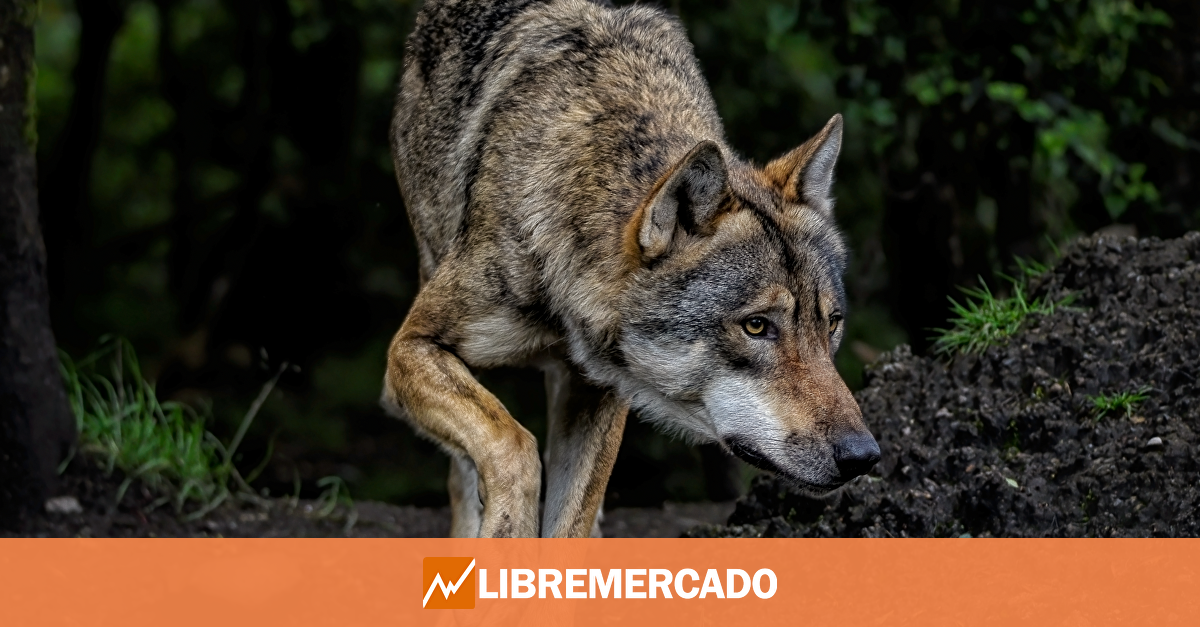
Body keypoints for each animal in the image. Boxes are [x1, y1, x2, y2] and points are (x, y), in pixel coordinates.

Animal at [384, 0, 880, 538]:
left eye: (831, 324)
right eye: (756, 326)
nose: (863, 456)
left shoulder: (601, 389)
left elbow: (571, 521)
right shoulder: (409, 349)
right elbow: (512, 444)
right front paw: (506, 528)